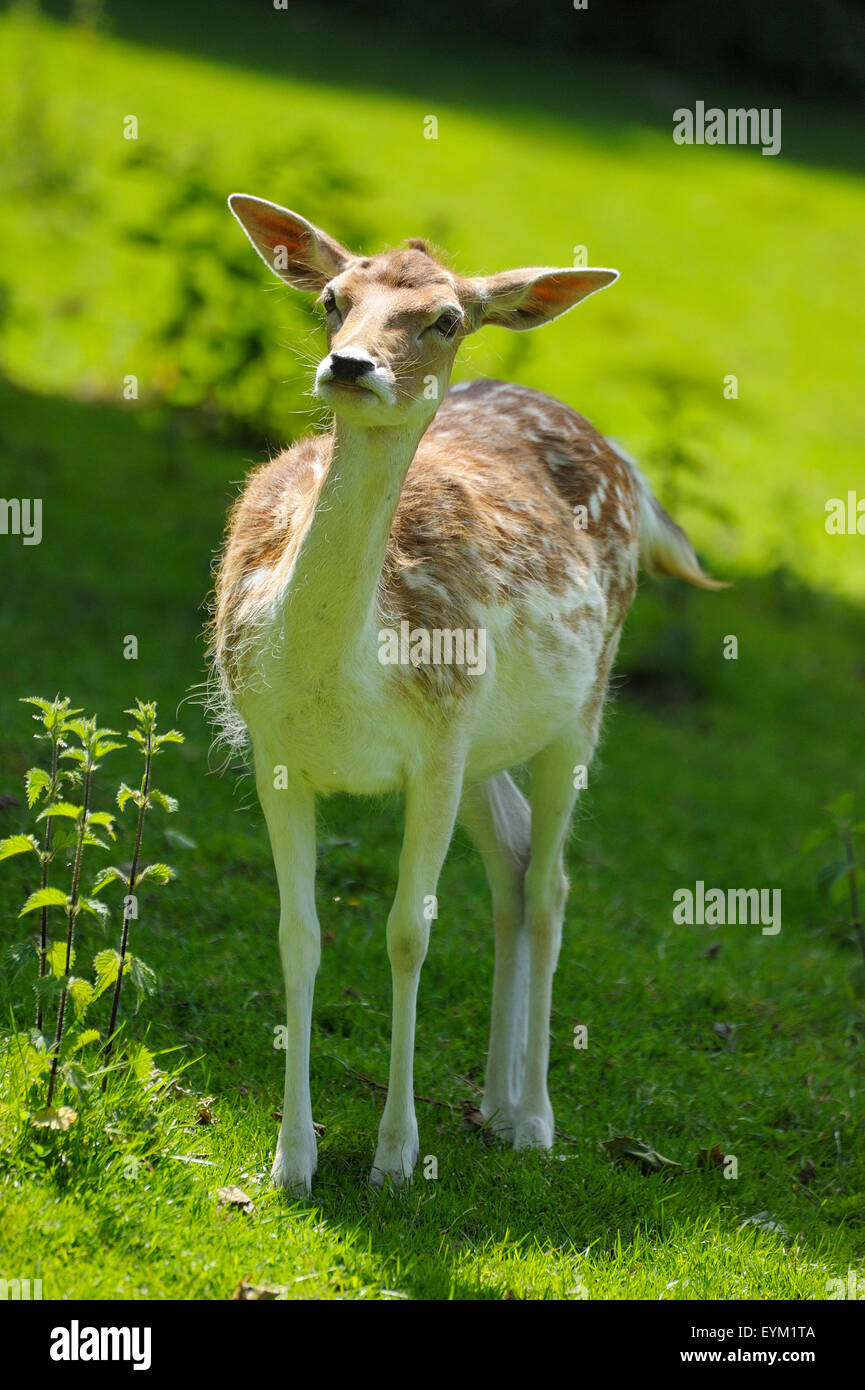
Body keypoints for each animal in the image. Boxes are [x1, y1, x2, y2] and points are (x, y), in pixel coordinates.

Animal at [209, 194, 722, 1195]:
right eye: (331, 299)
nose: (350, 364)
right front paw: (292, 1162)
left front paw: (395, 1158)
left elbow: (408, 932)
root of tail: (627, 464)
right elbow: (298, 935)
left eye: (445, 319)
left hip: (579, 703)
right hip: (488, 742)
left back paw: (532, 1116)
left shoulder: (436, 749)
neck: (342, 674)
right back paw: (491, 1097)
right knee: (514, 856)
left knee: (551, 879)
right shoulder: (275, 750)